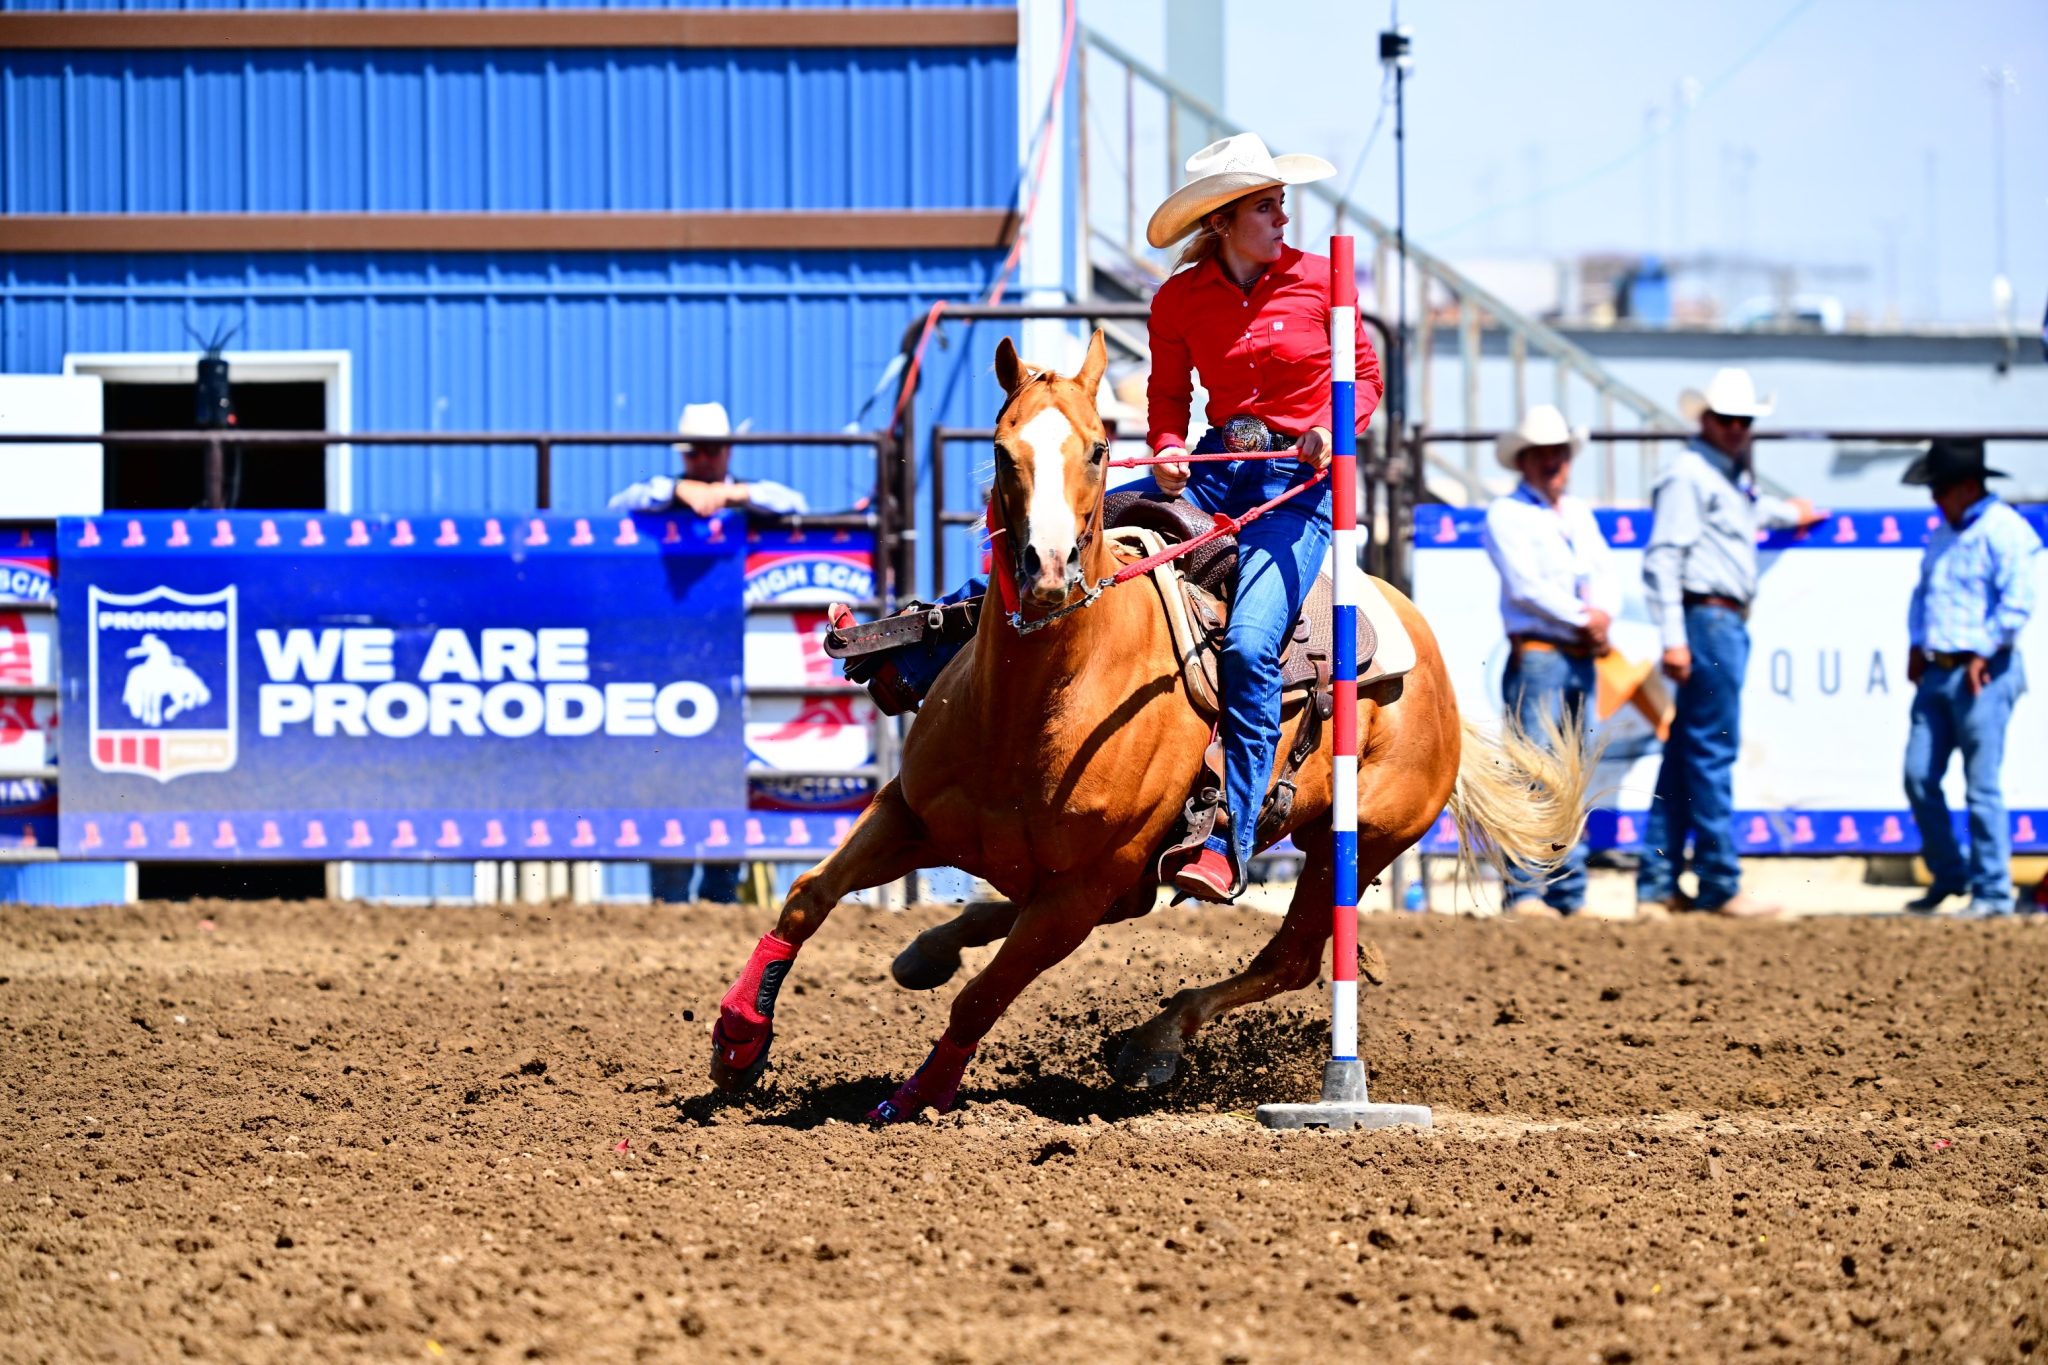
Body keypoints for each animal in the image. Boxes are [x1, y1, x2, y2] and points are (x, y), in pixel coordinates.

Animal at [708, 329, 1590, 1123]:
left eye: (1099, 449)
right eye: (1001, 449)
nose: (1049, 569)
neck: (1031, 707)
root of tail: (1426, 650)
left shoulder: (1082, 891)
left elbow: (984, 994)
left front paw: (918, 1094)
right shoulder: (907, 812)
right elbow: (806, 897)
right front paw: (738, 1039)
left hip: (1358, 839)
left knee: (1292, 956)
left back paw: (1151, 1039)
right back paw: (931, 947)